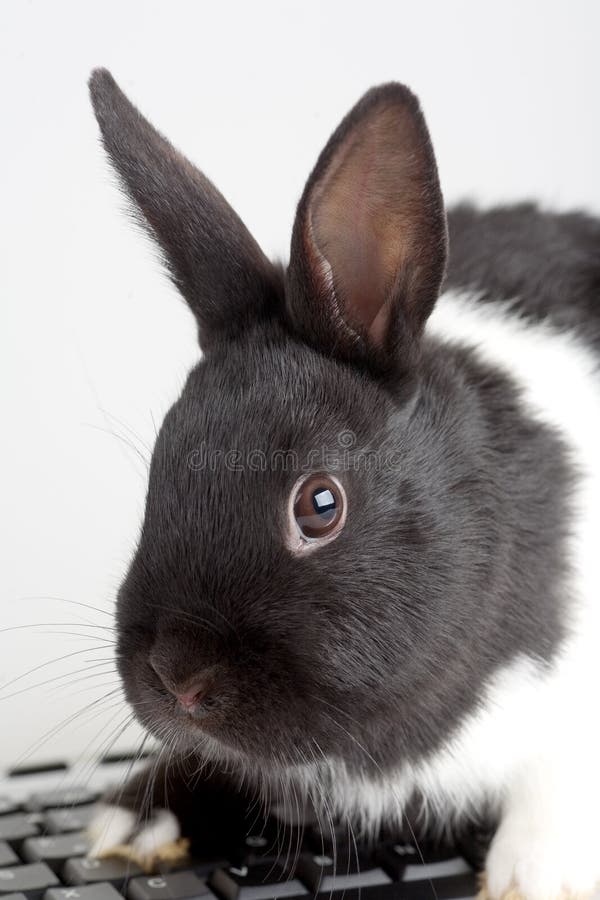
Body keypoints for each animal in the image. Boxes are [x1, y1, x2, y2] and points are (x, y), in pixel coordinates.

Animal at [85, 70, 600, 900]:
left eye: (320, 504)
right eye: (161, 464)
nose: (178, 680)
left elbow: (560, 776)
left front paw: (533, 874)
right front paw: (132, 819)